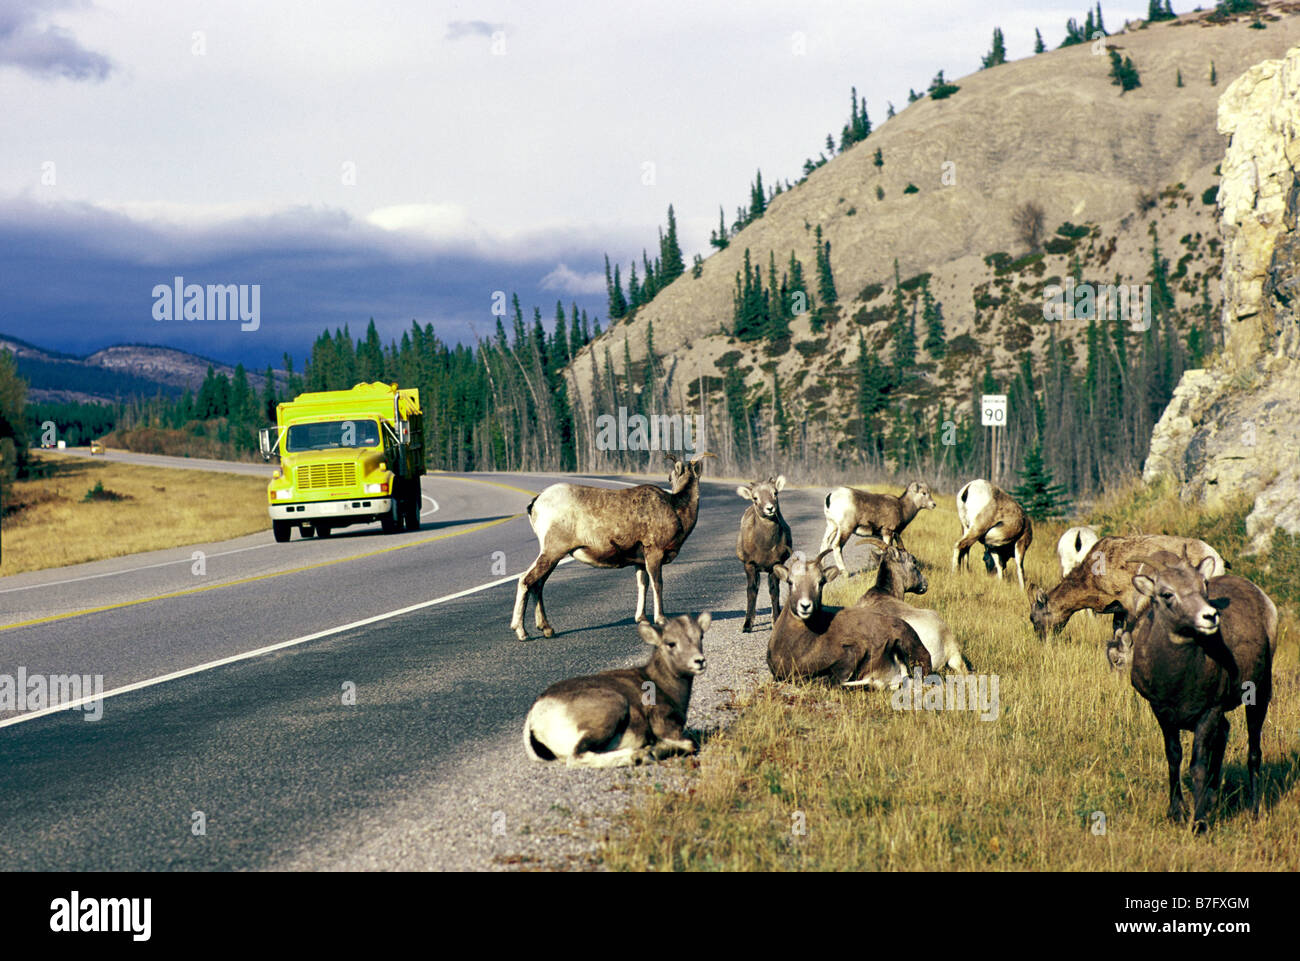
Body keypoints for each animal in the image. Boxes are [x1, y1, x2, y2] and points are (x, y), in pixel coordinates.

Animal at [510, 452, 714, 641]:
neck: (677, 510)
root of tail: (536, 503)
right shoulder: (654, 553)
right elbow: (657, 584)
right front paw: (660, 619)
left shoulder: (639, 562)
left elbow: (643, 584)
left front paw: (641, 618)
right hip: (552, 551)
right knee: (526, 580)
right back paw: (522, 632)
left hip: (552, 554)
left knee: (537, 584)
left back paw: (547, 629)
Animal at [523, 613, 712, 768]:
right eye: (671, 643)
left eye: (700, 636)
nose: (699, 661)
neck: (661, 685)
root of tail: (535, 717)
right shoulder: (667, 727)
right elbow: (689, 744)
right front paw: (654, 748)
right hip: (612, 709)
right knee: (576, 757)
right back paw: (640, 755)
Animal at [735, 474, 794, 633]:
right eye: (755, 497)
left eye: (775, 493)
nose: (770, 508)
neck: (765, 547)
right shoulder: (749, 565)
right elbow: (751, 591)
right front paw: (747, 626)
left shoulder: (775, 564)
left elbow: (774, 591)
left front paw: (776, 621)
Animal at [1125, 556, 1277, 832]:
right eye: (1166, 594)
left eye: (1203, 586)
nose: (1210, 616)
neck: (1177, 678)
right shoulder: (1162, 712)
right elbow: (1174, 757)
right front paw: (1176, 812)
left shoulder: (1208, 712)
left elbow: (1197, 766)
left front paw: (1200, 823)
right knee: (1225, 733)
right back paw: (1212, 799)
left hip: (1259, 695)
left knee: (1254, 753)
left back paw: (1255, 811)